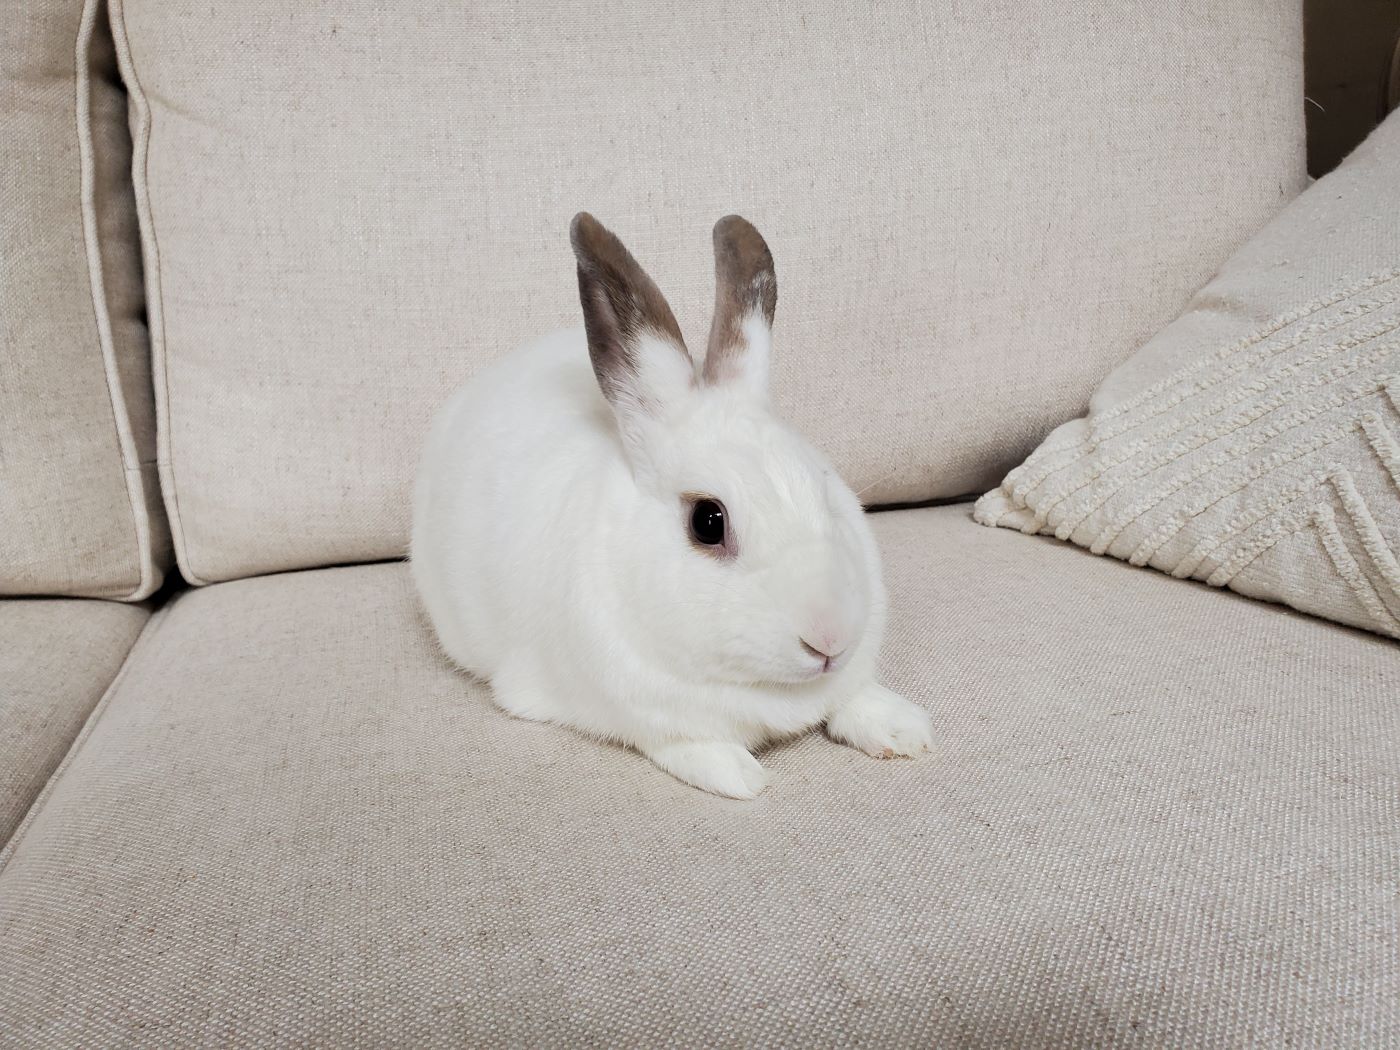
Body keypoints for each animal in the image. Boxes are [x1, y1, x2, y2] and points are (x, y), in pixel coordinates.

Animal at [410, 212, 933, 798]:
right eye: (707, 522)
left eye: (824, 486)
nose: (830, 637)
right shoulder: (643, 716)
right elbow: (687, 743)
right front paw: (740, 776)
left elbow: (854, 696)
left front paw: (904, 730)